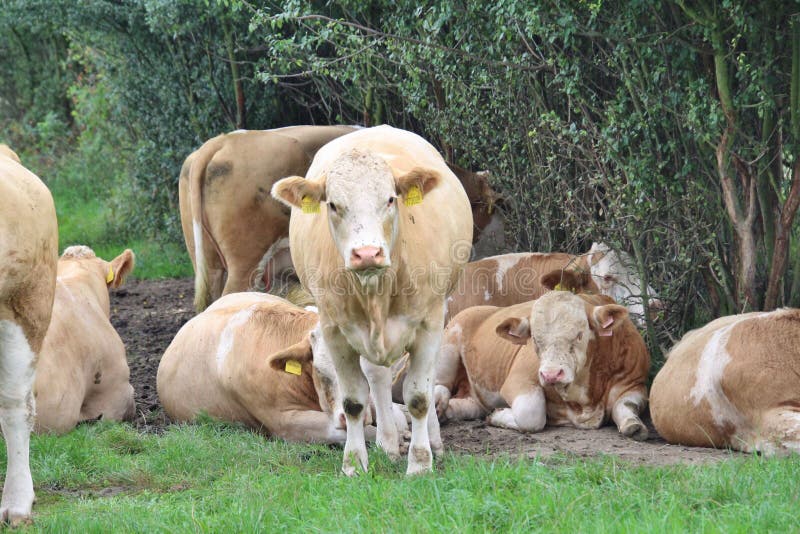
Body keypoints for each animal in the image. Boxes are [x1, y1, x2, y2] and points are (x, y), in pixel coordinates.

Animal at [271, 125, 473, 475]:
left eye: (390, 199)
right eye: (333, 204)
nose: (367, 253)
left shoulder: (428, 322)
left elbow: (418, 396)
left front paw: (420, 463)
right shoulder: (335, 330)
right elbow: (354, 401)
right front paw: (354, 463)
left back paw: (433, 441)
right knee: (377, 375)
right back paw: (387, 443)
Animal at [433, 270, 650, 440]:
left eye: (579, 335)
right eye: (535, 339)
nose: (551, 374)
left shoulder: (634, 383)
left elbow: (625, 405)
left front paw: (634, 425)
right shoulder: (518, 380)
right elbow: (531, 414)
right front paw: (497, 414)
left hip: (473, 393)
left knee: (466, 403)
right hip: (447, 346)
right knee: (438, 385)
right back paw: (437, 403)